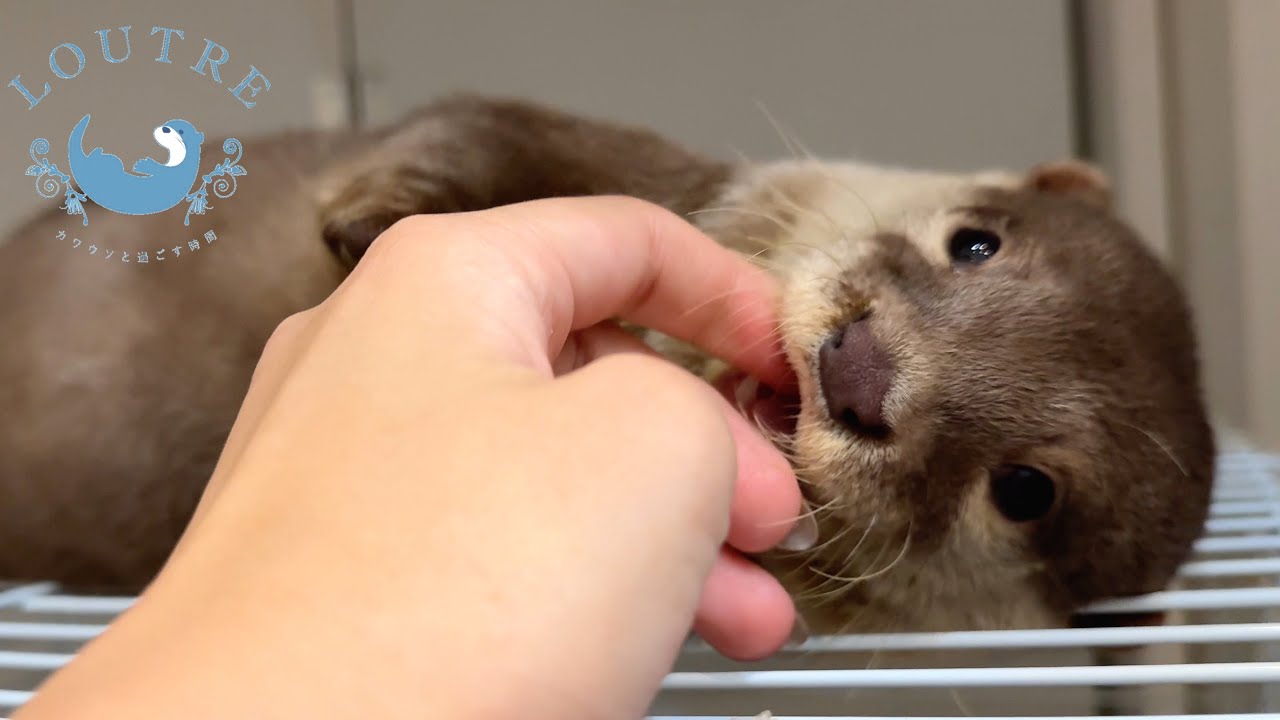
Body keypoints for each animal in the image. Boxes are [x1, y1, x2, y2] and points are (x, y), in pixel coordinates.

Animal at [0, 95, 1214, 634]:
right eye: (973, 243)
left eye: (1025, 491)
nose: (861, 370)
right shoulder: (617, 156)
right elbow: (474, 125)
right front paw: (377, 208)